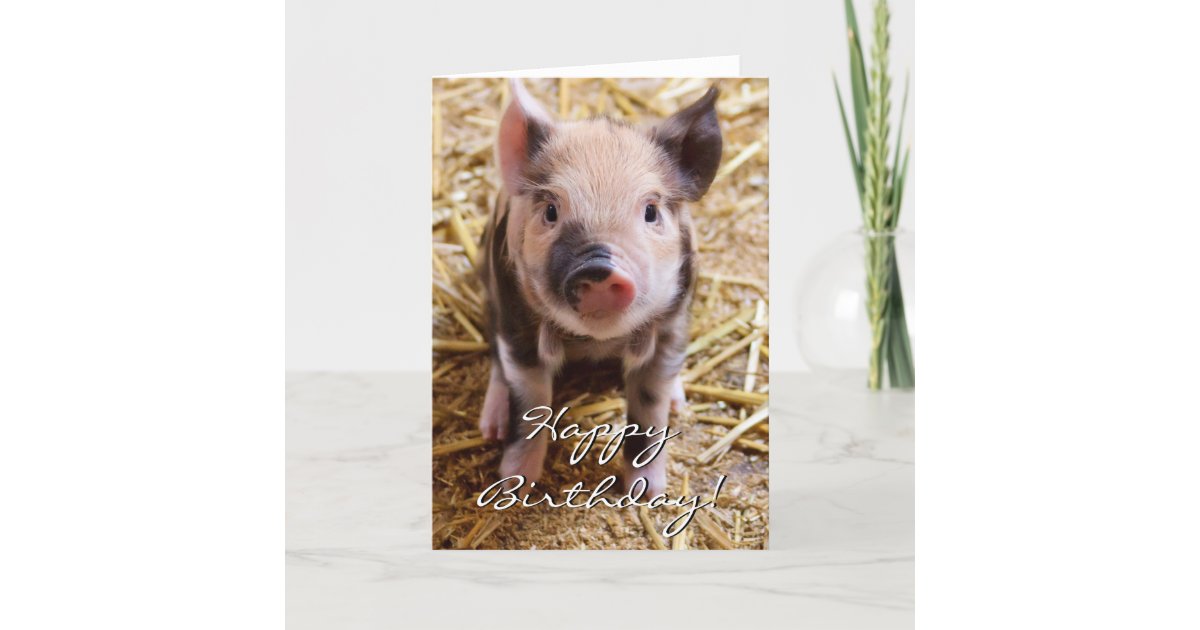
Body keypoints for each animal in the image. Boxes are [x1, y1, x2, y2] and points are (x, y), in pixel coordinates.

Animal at [477, 79, 723, 497]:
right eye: (551, 211)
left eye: (651, 211)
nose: (598, 268)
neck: (596, 342)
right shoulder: (516, 322)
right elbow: (529, 407)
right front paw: (514, 486)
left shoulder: (673, 325)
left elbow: (650, 409)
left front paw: (648, 494)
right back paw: (489, 427)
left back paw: (679, 403)